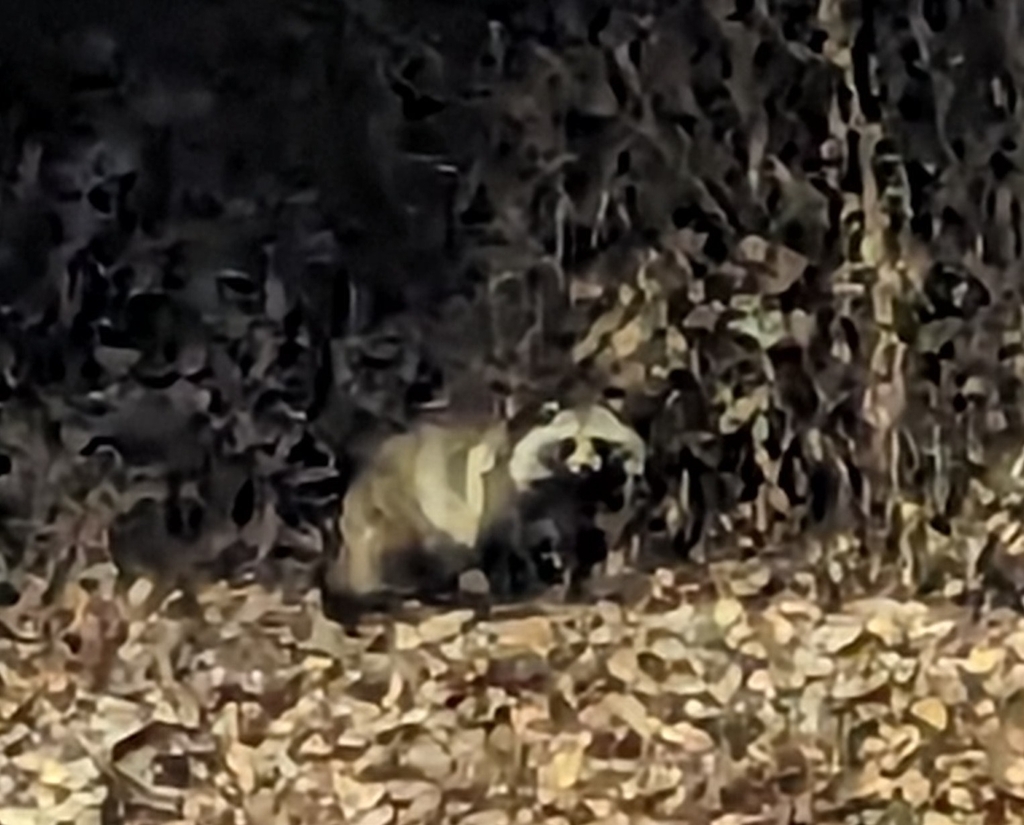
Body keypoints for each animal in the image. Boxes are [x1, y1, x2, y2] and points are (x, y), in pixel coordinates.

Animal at [322, 401, 645, 607]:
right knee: (406, 548)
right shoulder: (510, 486)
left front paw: (576, 577)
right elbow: (502, 538)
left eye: (599, 443)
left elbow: (587, 535)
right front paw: (520, 583)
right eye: (568, 444)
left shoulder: (595, 497)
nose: (584, 467)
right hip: (394, 504)